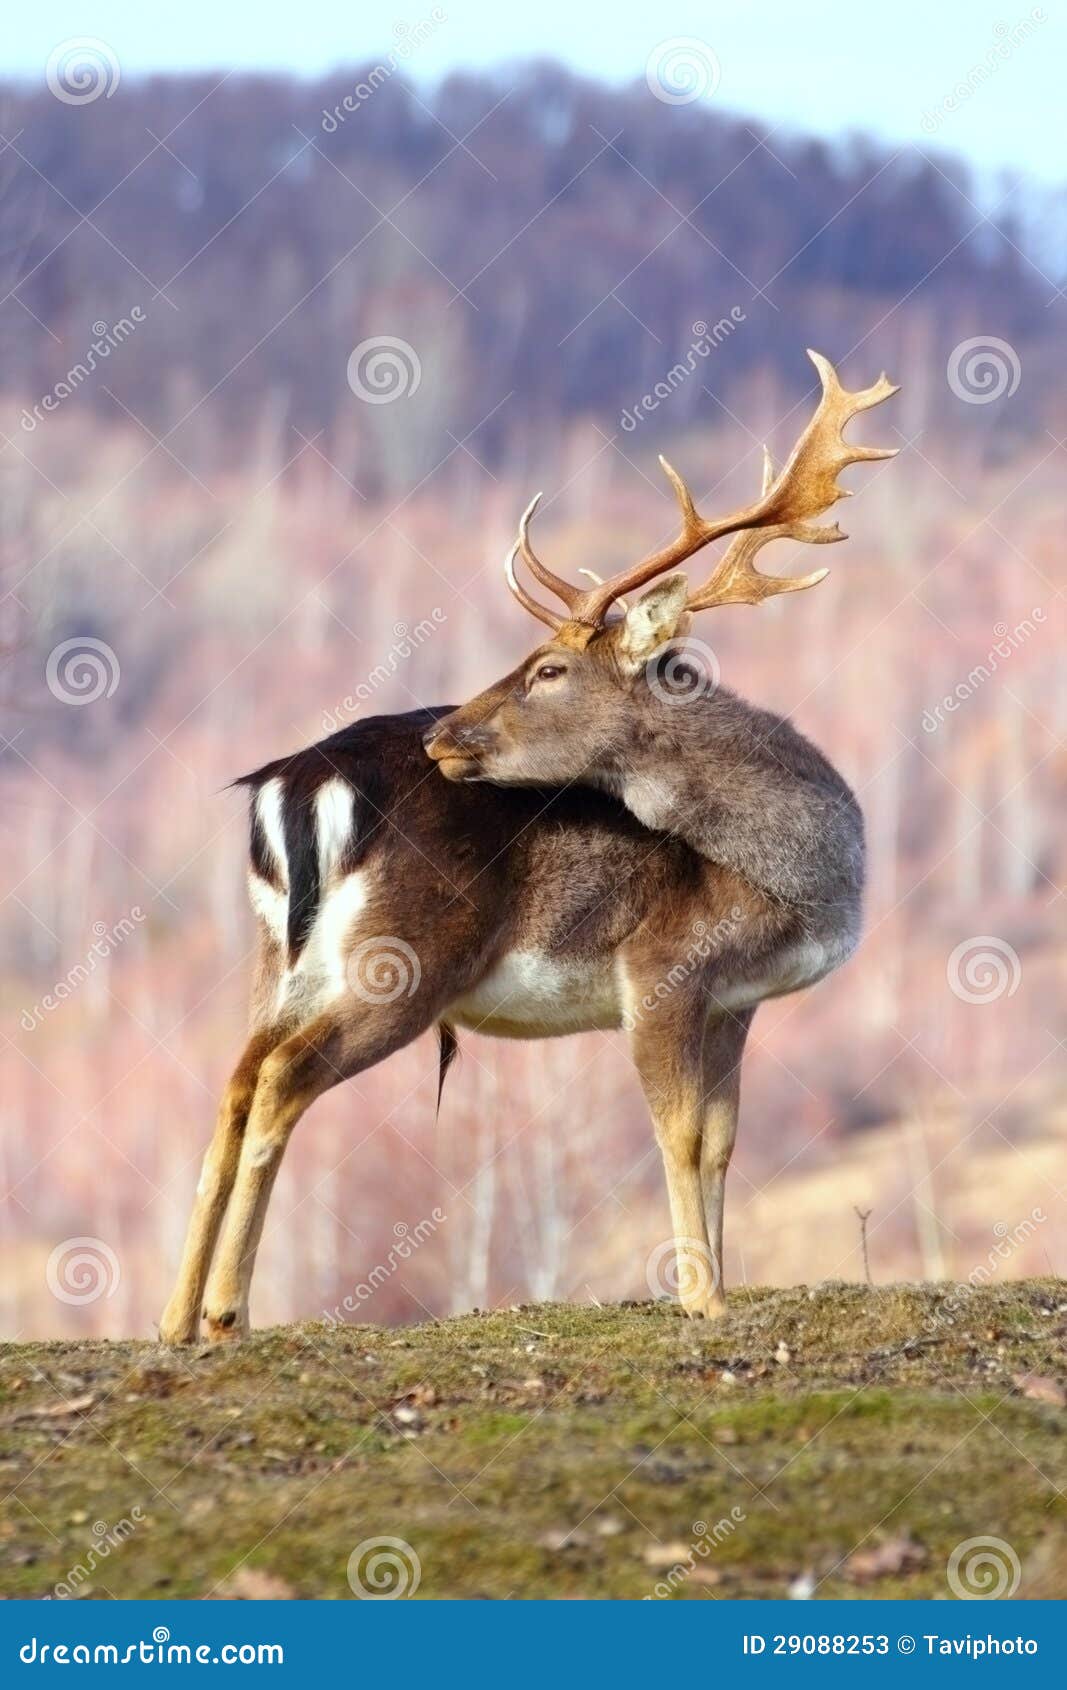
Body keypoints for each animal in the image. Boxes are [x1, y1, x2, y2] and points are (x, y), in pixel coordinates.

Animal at [159, 351, 897, 1346]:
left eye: (549, 667)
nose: (446, 733)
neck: (798, 880)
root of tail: (296, 783)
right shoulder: (659, 966)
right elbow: (678, 1134)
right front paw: (699, 1297)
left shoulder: (735, 1002)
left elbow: (721, 1140)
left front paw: (717, 1284)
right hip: (402, 958)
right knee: (282, 1077)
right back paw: (228, 1312)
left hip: (279, 956)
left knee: (236, 1079)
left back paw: (173, 1318)